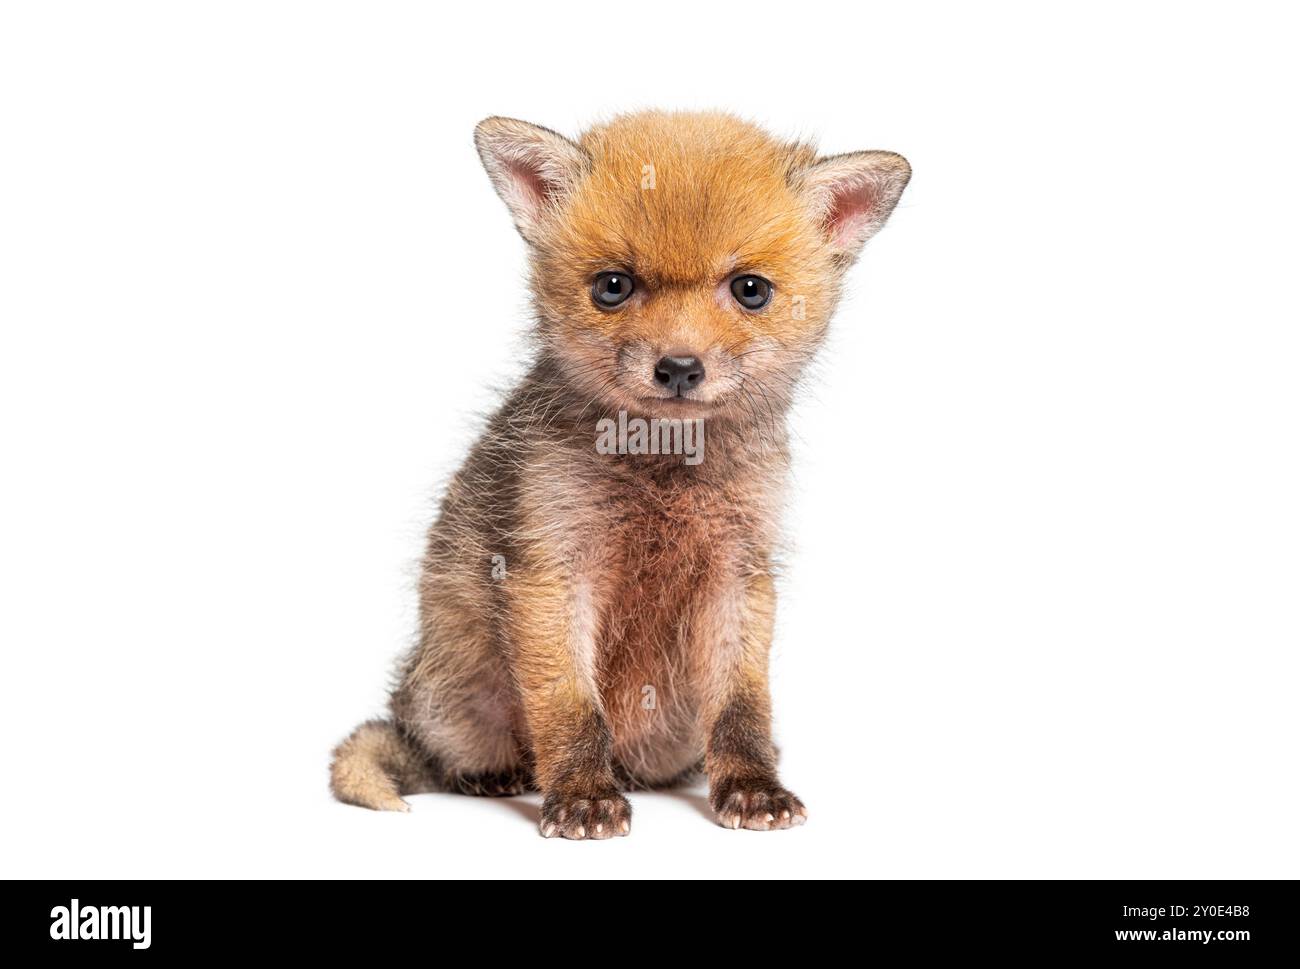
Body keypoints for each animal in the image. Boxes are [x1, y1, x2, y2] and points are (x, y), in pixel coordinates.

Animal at [329, 111, 910, 838]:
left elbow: (743, 707)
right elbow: (570, 708)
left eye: (750, 290)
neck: (661, 467)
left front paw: (752, 785)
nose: (680, 368)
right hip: (456, 708)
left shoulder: (740, 572)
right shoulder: (550, 571)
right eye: (614, 286)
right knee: (447, 757)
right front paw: (582, 794)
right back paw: (500, 775)